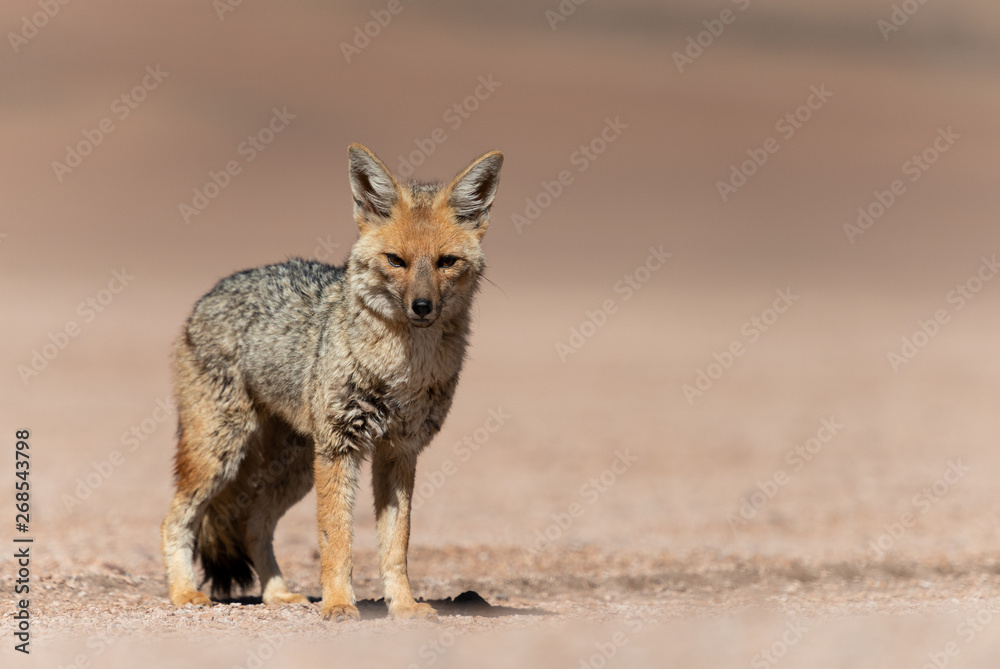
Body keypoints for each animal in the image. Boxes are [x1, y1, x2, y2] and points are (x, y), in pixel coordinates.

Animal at [160, 143, 503, 621]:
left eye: (446, 262)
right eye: (396, 261)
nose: (422, 306)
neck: (401, 370)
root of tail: (212, 292)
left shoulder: (400, 451)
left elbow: (396, 544)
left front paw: (404, 605)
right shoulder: (340, 447)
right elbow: (336, 538)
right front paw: (340, 604)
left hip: (294, 468)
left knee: (254, 523)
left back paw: (277, 594)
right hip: (222, 452)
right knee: (175, 518)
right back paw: (184, 592)